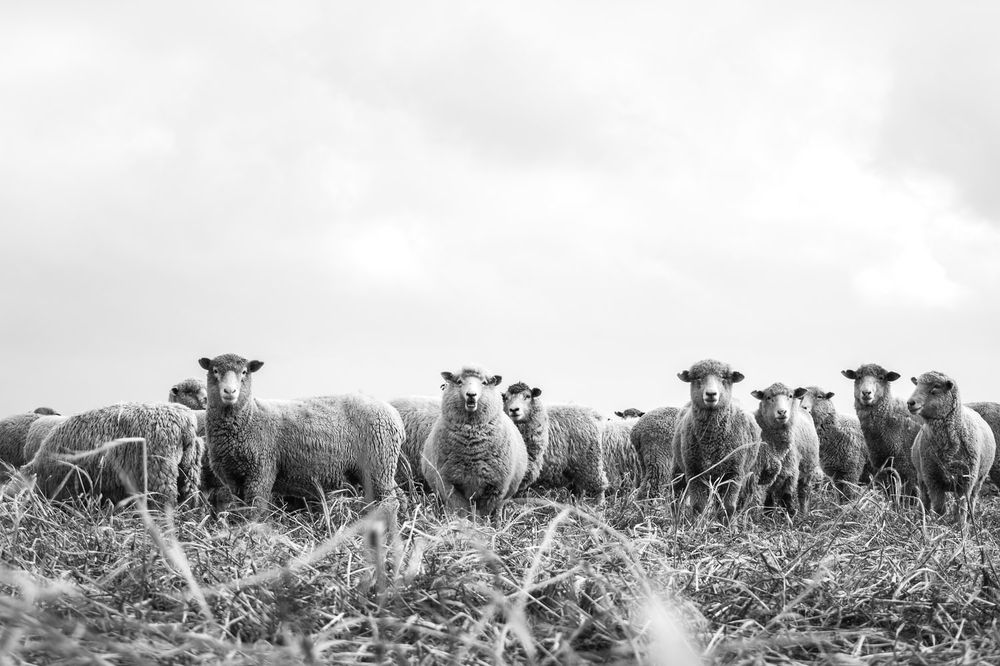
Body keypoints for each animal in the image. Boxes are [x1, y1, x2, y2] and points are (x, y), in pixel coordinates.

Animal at [199, 353, 405, 518]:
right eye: (215, 370)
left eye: (244, 372)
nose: (229, 391)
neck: (250, 417)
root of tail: (394, 415)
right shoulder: (233, 479)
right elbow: (241, 510)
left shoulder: (261, 471)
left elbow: (255, 510)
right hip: (376, 469)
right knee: (395, 497)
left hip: (378, 465)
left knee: (389, 503)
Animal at [422, 366, 527, 516]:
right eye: (459, 382)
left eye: (484, 383)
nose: (471, 395)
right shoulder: (448, 483)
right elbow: (460, 511)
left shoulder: (495, 487)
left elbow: (483, 514)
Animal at [673, 359, 762, 519]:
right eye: (697, 377)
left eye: (724, 378)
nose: (711, 394)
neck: (711, 441)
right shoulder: (695, 472)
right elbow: (698, 506)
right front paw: (697, 524)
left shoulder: (734, 473)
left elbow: (728, 507)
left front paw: (725, 524)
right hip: (679, 466)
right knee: (677, 494)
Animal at [751, 384, 821, 517]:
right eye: (768, 397)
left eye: (790, 396)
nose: (782, 412)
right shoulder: (768, 475)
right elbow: (769, 501)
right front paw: (768, 517)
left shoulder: (791, 473)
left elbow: (787, 498)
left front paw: (790, 517)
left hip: (808, 469)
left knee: (804, 492)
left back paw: (804, 514)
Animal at [907, 371, 996, 525]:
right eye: (916, 384)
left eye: (936, 387)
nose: (910, 403)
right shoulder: (933, 479)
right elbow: (939, 509)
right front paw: (940, 526)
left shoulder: (966, 480)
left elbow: (961, 508)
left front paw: (960, 527)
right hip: (921, 476)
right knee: (924, 499)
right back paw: (921, 518)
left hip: (978, 479)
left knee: (972, 501)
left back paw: (969, 521)